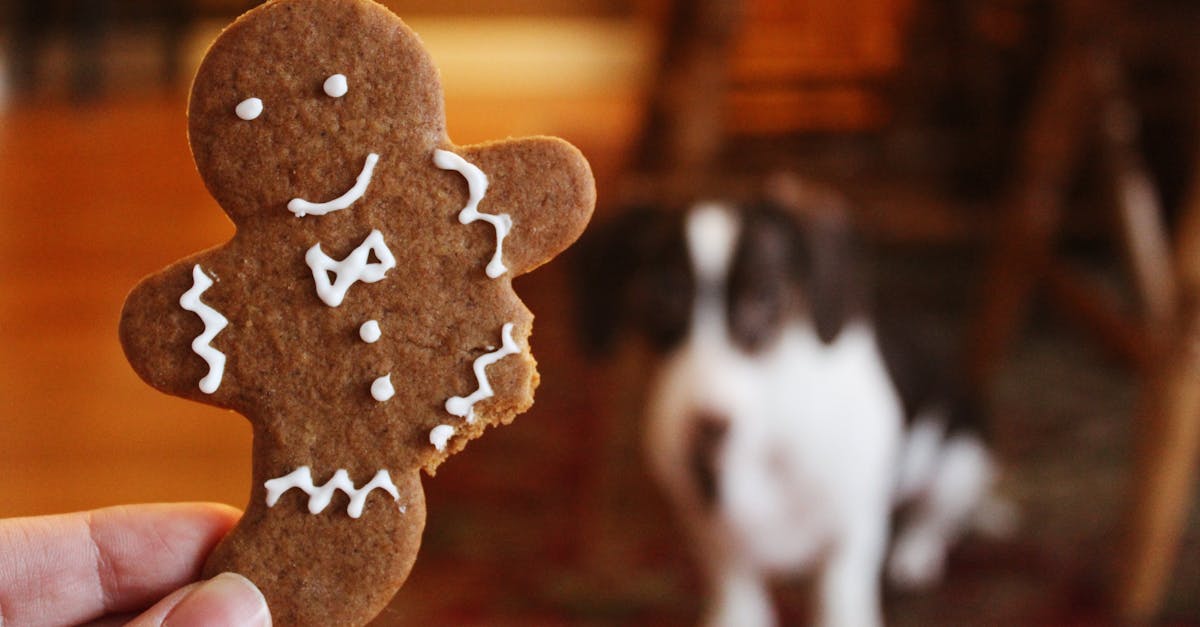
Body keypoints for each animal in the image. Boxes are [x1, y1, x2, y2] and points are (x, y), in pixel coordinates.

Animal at [576, 180, 1008, 624]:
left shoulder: (851, 533)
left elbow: (840, 598)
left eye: (767, 294)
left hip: (960, 462)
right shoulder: (711, 530)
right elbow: (736, 589)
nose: (708, 426)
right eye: (662, 293)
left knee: (935, 518)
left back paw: (915, 555)